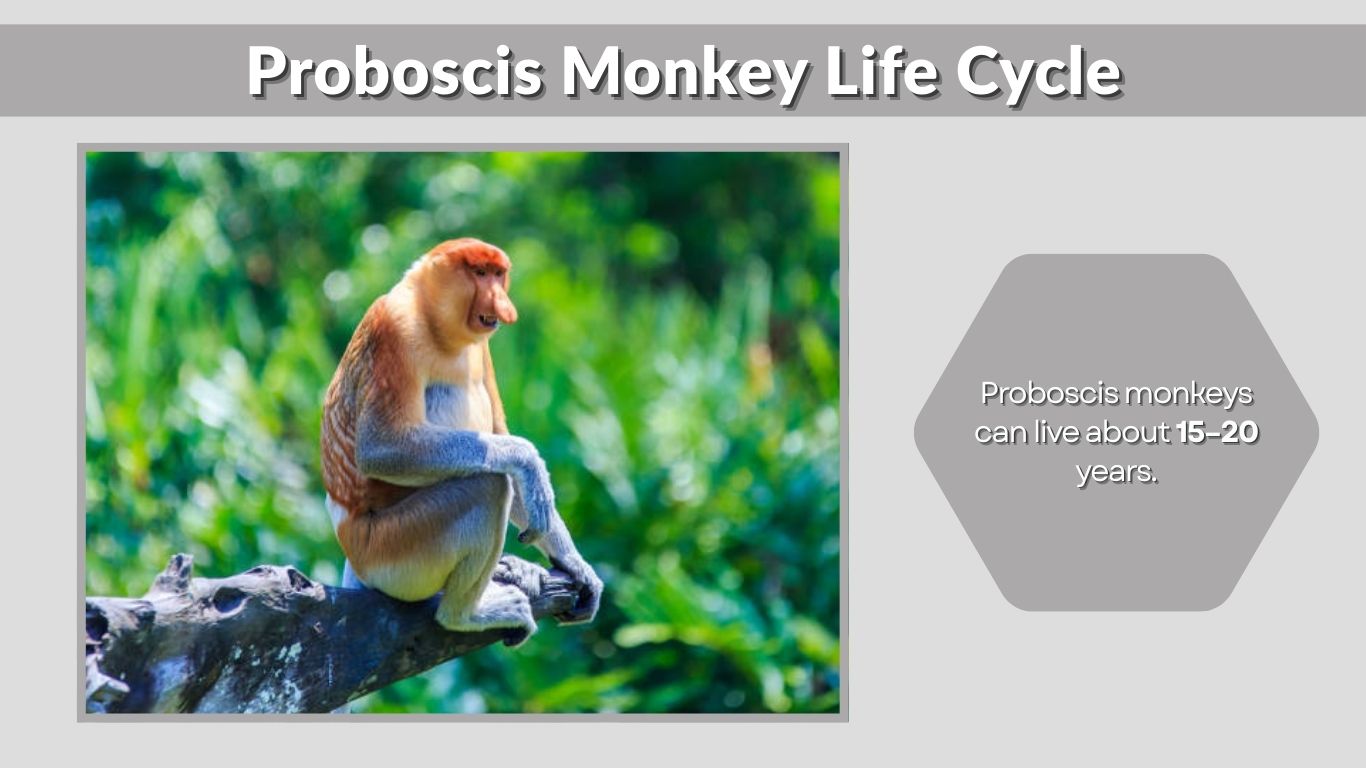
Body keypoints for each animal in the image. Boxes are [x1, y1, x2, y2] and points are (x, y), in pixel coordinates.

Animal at [321, 238, 602, 646]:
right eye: (479, 273)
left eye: (499, 274)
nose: (503, 305)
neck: (433, 323)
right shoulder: (393, 328)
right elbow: (381, 448)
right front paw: (529, 462)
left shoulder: (481, 349)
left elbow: (498, 434)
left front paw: (576, 565)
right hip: (391, 552)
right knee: (488, 486)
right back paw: (467, 614)